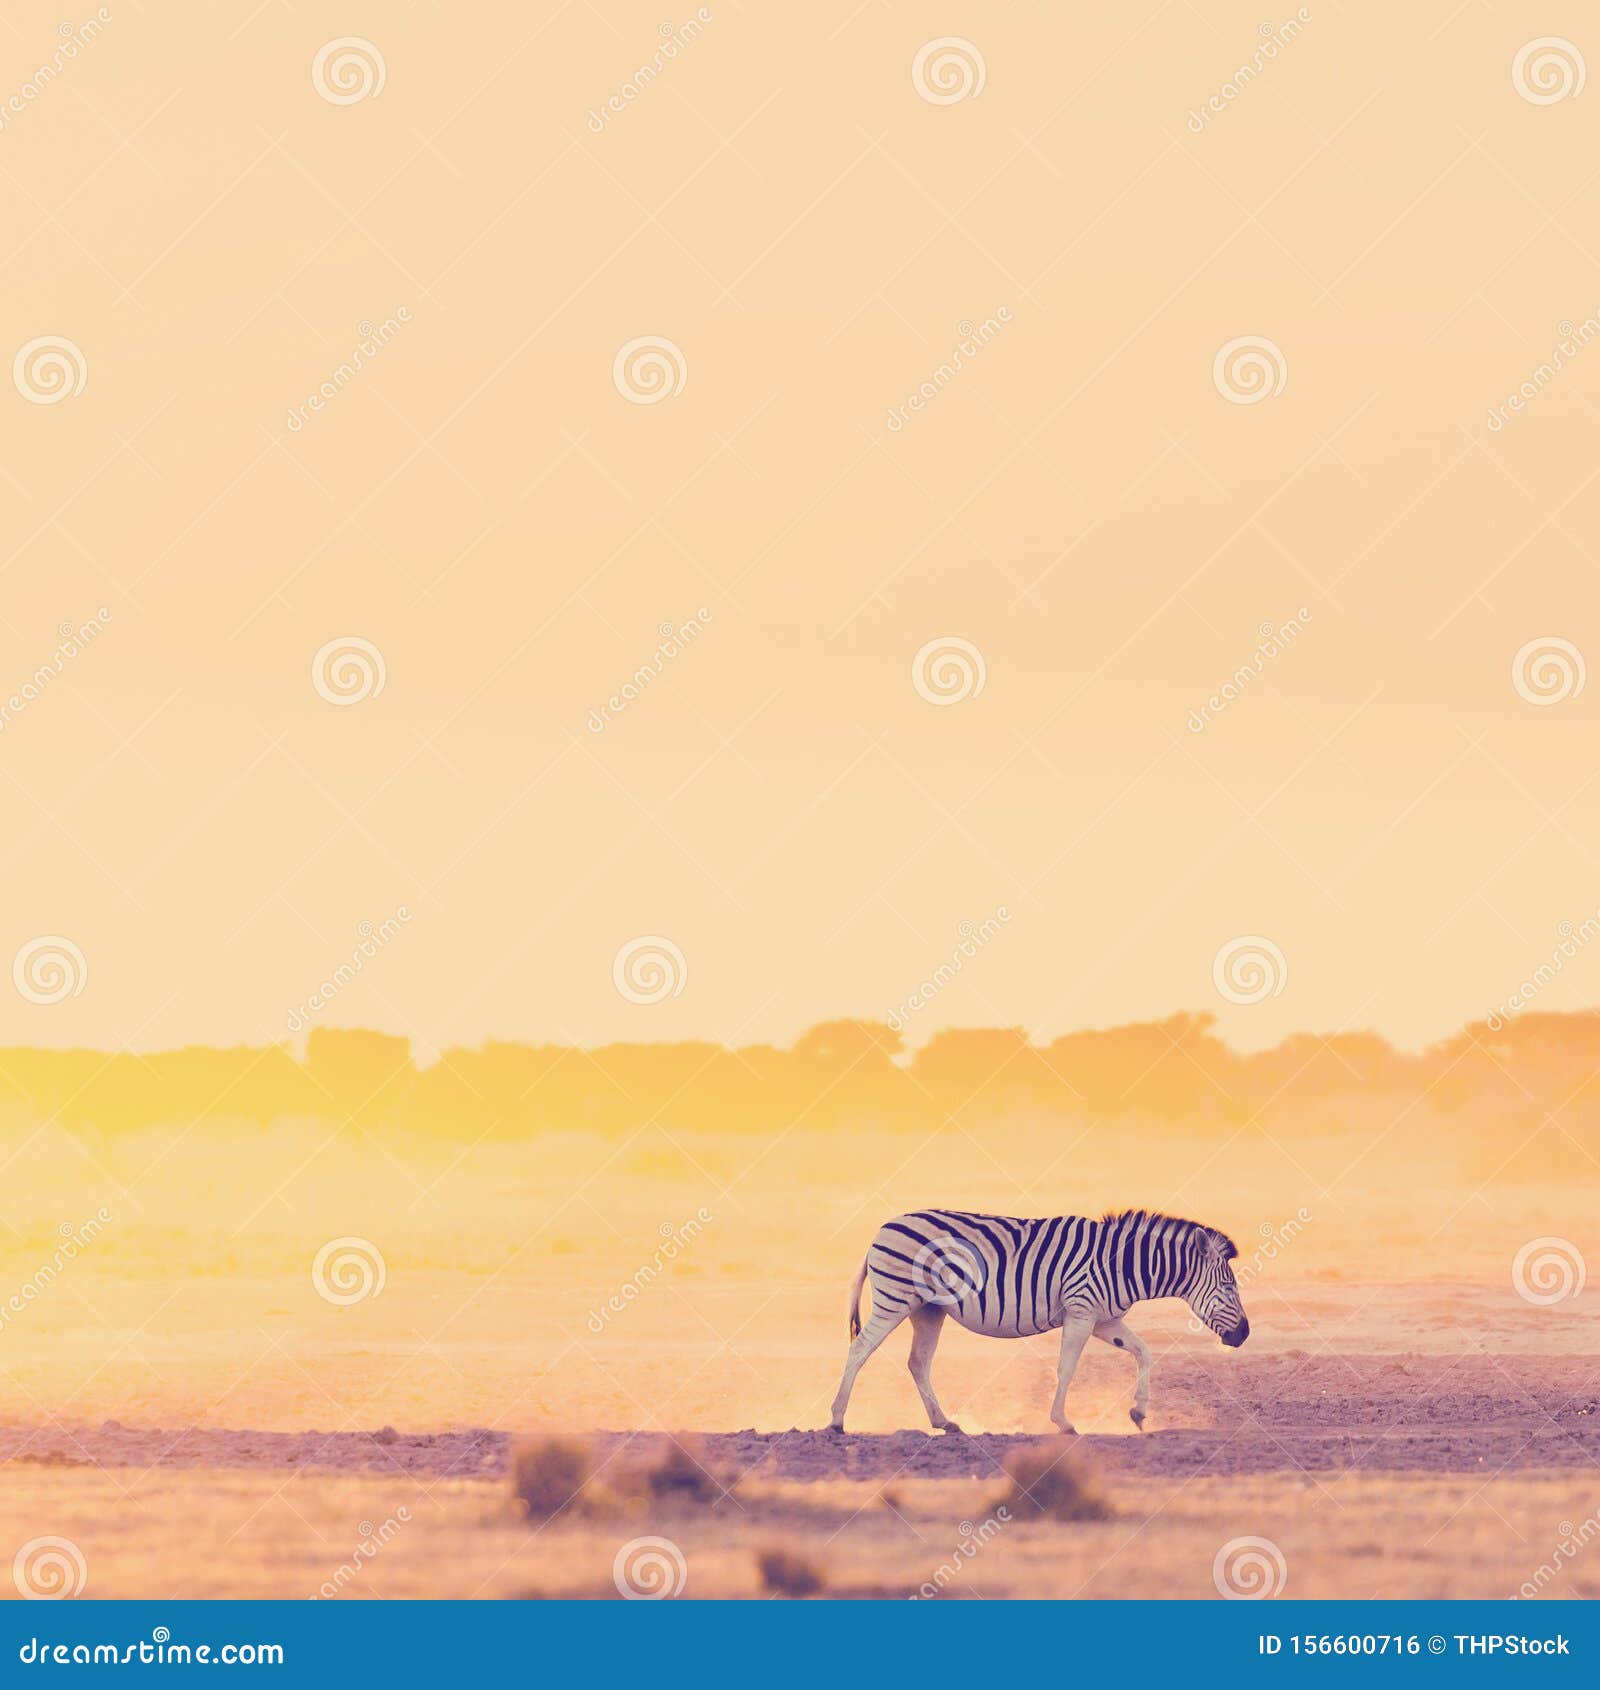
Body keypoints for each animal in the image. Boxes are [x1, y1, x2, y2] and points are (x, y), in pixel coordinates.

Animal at [828, 1207, 1249, 1434]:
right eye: (1229, 1287)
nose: (1244, 1336)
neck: (1123, 1264)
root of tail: (883, 1227)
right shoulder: (1081, 1311)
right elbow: (1067, 1368)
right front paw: (1062, 1421)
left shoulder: (1104, 1320)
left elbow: (1144, 1352)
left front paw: (1139, 1412)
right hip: (896, 1298)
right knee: (860, 1349)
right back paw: (836, 1419)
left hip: (927, 1309)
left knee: (918, 1363)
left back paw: (944, 1422)